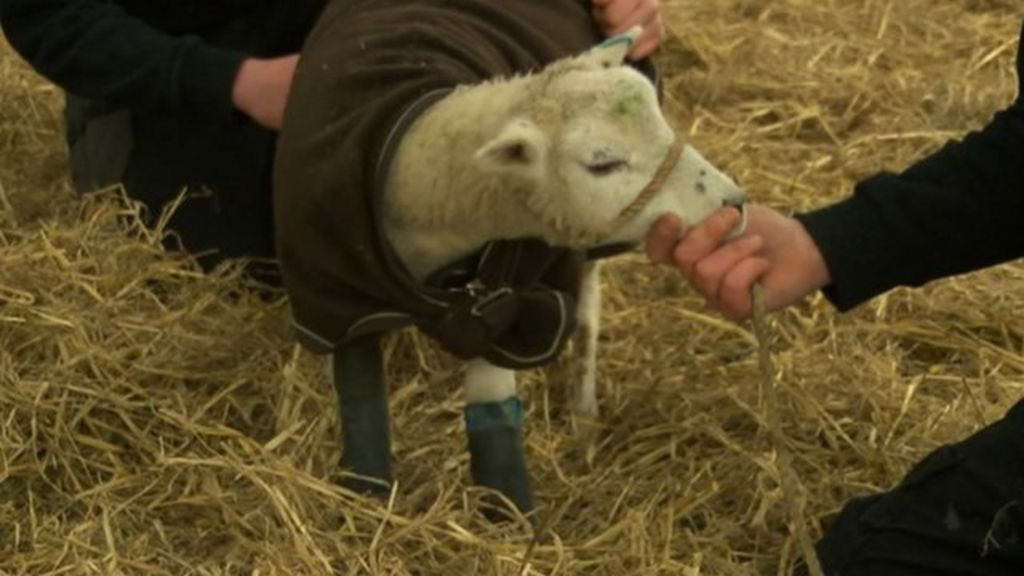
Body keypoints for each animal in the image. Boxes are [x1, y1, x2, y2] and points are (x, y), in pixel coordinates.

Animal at [274, 19, 744, 521]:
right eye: (602, 163)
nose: (733, 204)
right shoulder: (336, 300)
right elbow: (360, 400)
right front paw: (364, 497)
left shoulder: (516, 305)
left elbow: (493, 410)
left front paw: (509, 518)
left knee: (587, 317)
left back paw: (583, 419)